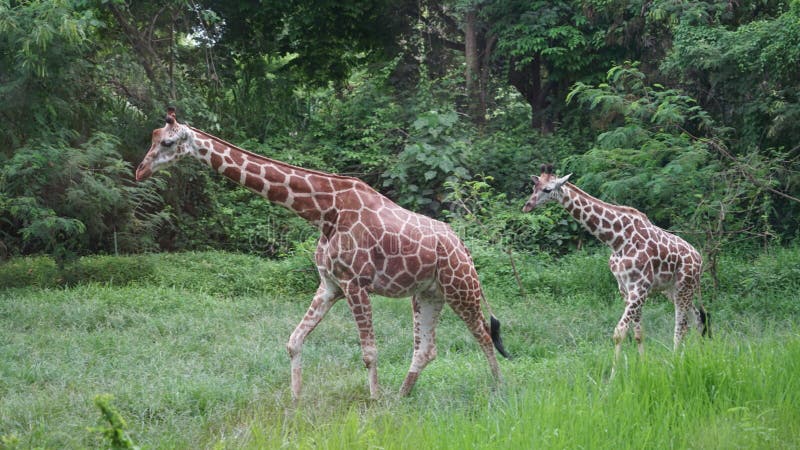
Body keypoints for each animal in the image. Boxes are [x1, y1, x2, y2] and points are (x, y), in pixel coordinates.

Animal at [135, 108, 509, 401]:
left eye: (166, 143)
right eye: (153, 138)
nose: (140, 171)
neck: (323, 211)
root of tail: (464, 247)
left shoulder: (356, 283)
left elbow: (369, 353)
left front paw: (374, 403)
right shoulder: (330, 285)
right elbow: (294, 341)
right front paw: (296, 399)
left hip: (461, 287)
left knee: (483, 333)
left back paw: (498, 390)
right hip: (429, 293)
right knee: (426, 348)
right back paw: (402, 396)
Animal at [522, 164, 709, 361]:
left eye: (547, 189)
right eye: (534, 187)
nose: (527, 206)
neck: (617, 241)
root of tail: (699, 259)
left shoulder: (640, 287)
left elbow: (620, 331)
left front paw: (615, 370)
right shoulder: (625, 288)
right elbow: (638, 332)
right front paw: (643, 364)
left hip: (684, 286)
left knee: (681, 325)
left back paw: (677, 360)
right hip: (671, 289)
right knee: (696, 317)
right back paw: (698, 355)